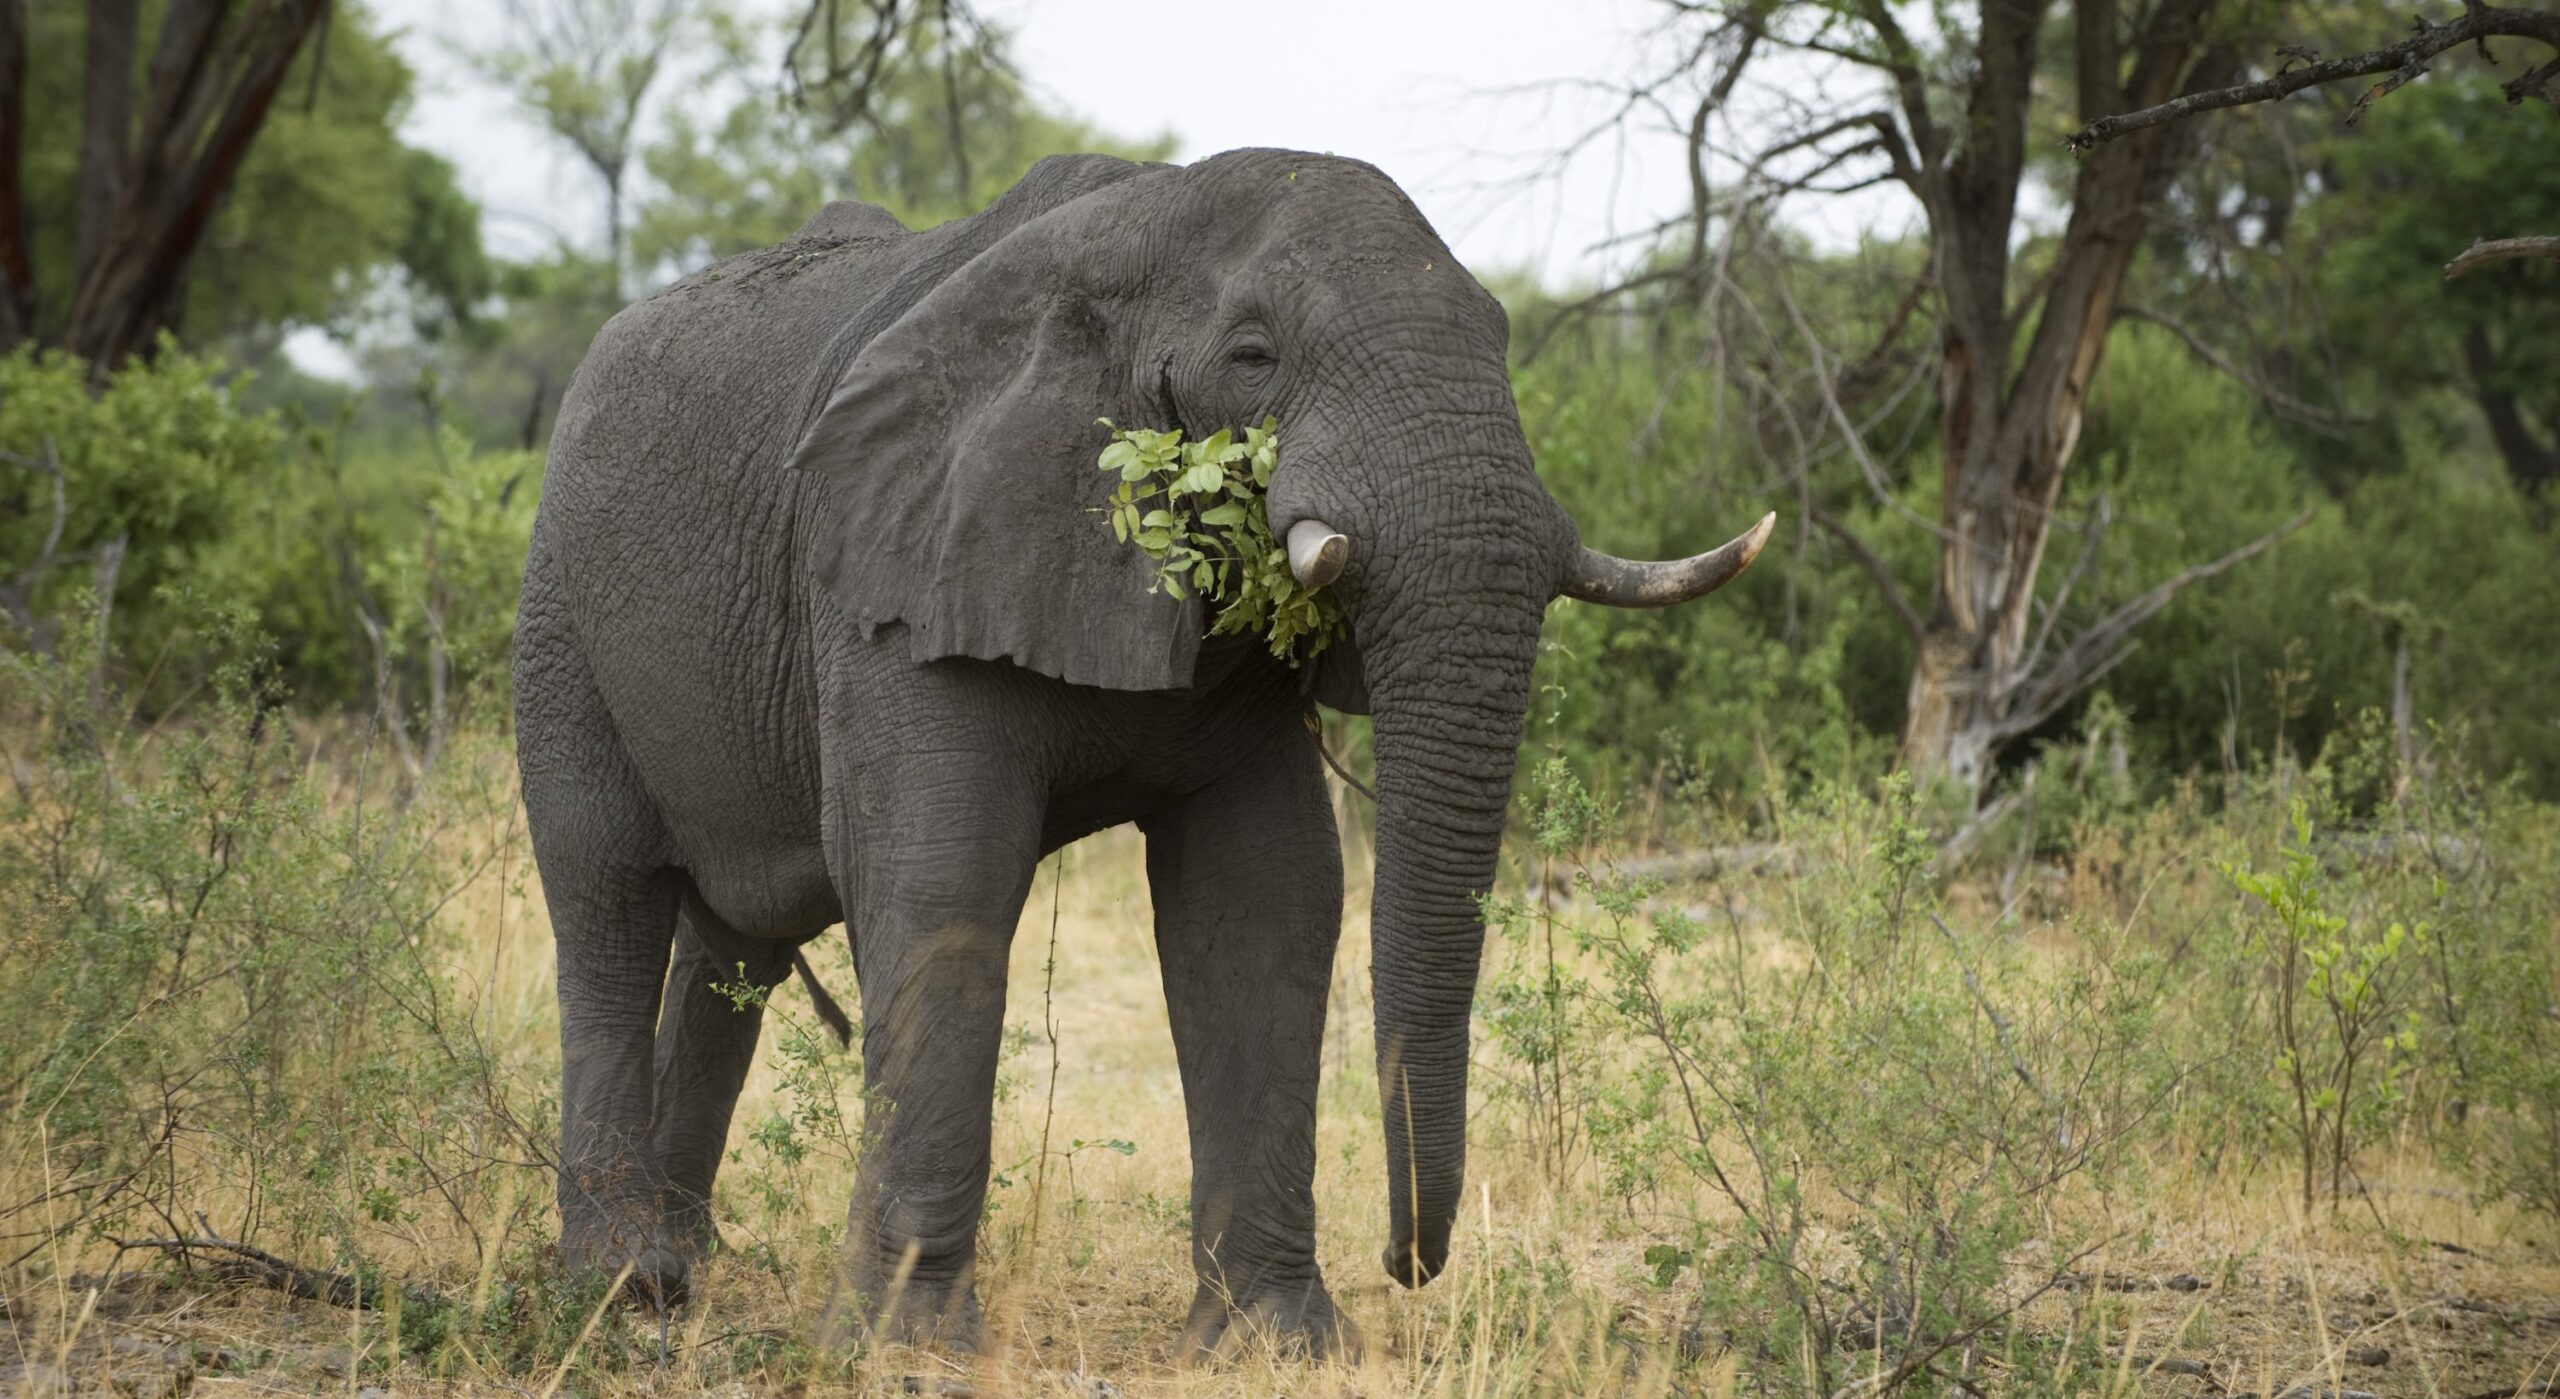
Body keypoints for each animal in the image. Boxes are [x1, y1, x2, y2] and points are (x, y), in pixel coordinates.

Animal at [513, 147, 1771, 1358]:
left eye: (1503, 339)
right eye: (1255, 354)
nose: (1408, 1262)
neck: (1131, 236)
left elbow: (1263, 899)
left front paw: (1276, 1346)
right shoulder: (895, 565)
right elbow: (940, 883)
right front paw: (905, 1355)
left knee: (733, 944)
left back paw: (686, 1265)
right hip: (558, 601)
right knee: (606, 899)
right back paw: (626, 1283)